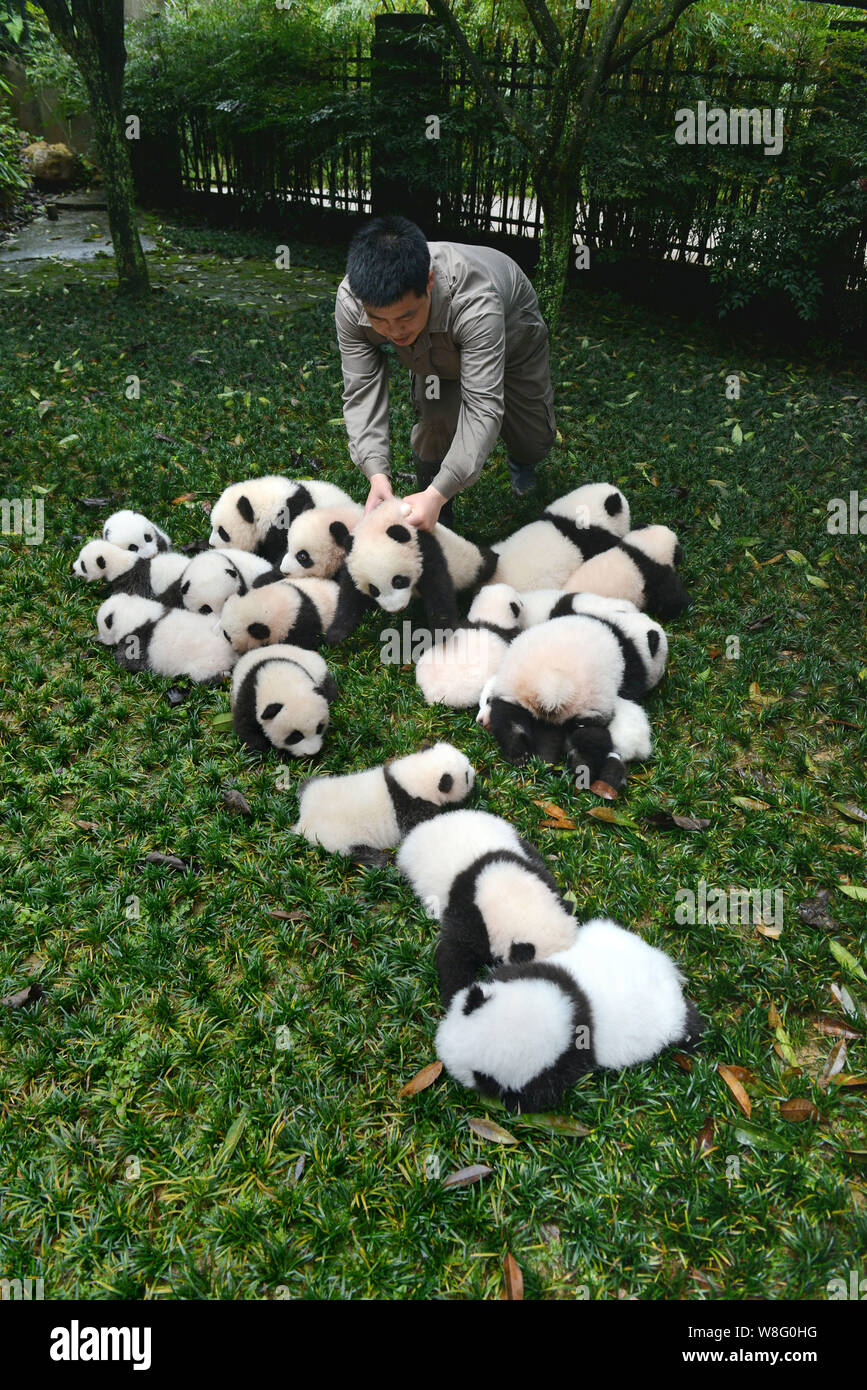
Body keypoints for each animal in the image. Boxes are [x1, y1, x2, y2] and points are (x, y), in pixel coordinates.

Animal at [96, 594, 236, 683]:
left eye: (101, 628)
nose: (98, 639)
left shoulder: (135, 642)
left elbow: (125, 662)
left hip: (204, 664)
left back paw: (223, 676)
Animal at [293, 742, 476, 859]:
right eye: (466, 776)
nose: (475, 773)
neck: (409, 781)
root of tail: (304, 822)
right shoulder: (414, 809)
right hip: (338, 838)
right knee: (357, 853)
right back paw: (380, 859)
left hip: (319, 788)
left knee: (310, 783)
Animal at [325, 499, 498, 644]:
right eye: (373, 589)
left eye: (398, 580)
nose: (396, 609)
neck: (381, 522)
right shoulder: (351, 557)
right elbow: (349, 594)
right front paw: (336, 633)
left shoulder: (423, 546)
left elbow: (438, 588)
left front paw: (442, 634)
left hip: (469, 561)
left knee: (485, 564)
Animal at [436, 917, 705, 1112]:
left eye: (478, 1076)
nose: (441, 1052)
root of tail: (666, 969)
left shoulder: (562, 1064)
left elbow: (541, 1096)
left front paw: (514, 1103)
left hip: (666, 1018)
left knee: (683, 1025)